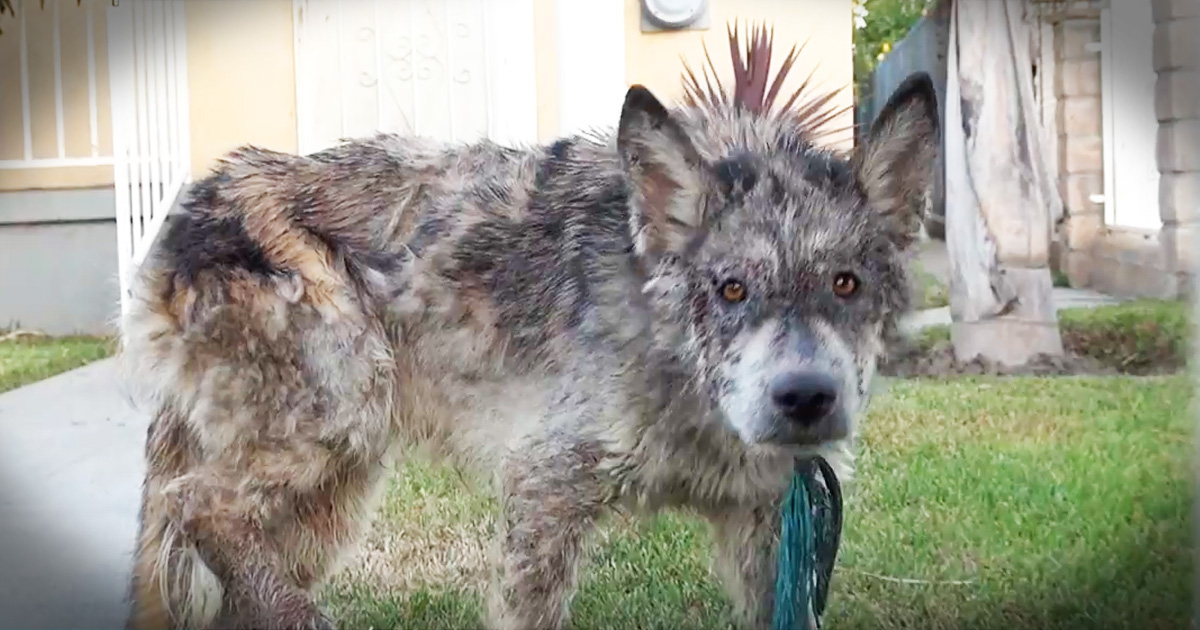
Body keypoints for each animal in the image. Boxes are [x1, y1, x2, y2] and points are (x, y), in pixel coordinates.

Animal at [118, 22, 939, 630]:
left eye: (845, 284)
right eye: (731, 289)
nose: (805, 399)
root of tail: (193, 203)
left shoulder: (767, 527)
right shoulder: (546, 487)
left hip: (336, 493)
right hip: (337, 422)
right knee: (195, 504)